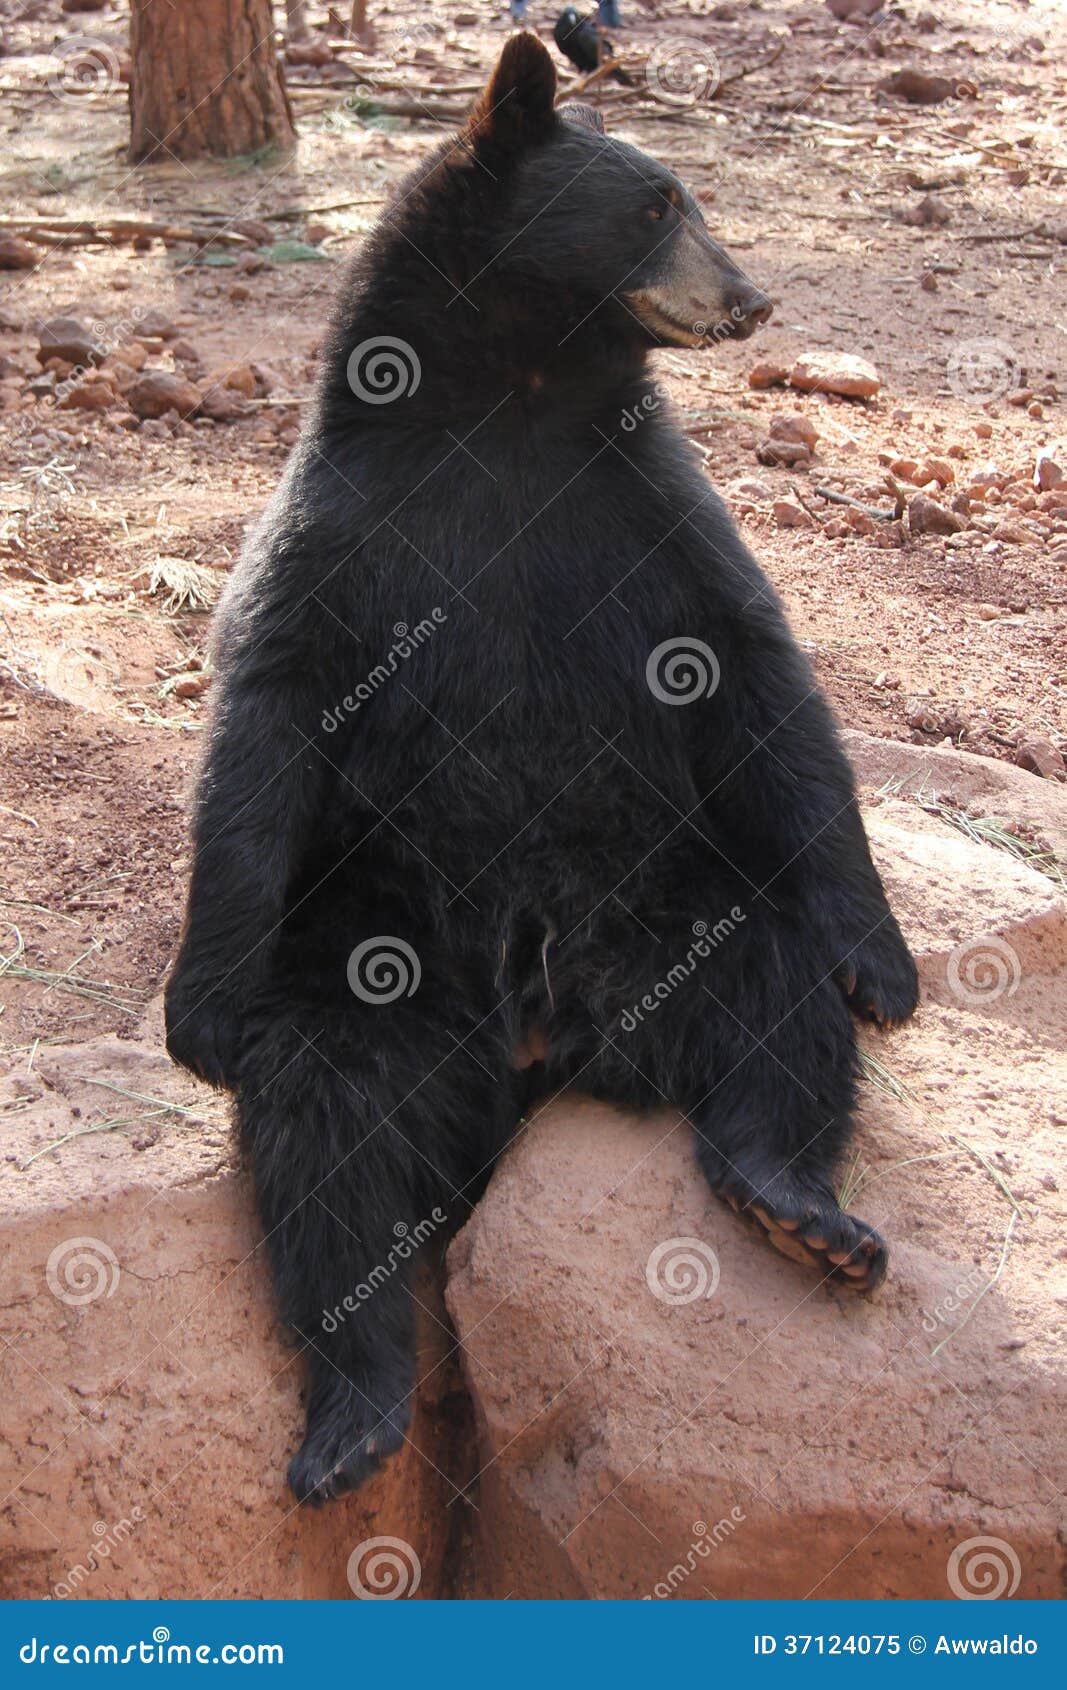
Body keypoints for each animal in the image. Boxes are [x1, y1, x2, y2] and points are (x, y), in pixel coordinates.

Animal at [164, 32, 918, 1505]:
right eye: (654, 204)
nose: (749, 297)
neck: (511, 406)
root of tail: (538, 1039)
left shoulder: (646, 510)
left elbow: (763, 681)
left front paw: (885, 964)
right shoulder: (348, 525)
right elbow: (261, 723)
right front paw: (198, 1013)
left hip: (663, 895)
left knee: (767, 994)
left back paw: (799, 1205)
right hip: (374, 938)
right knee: (328, 1126)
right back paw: (352, 1416)